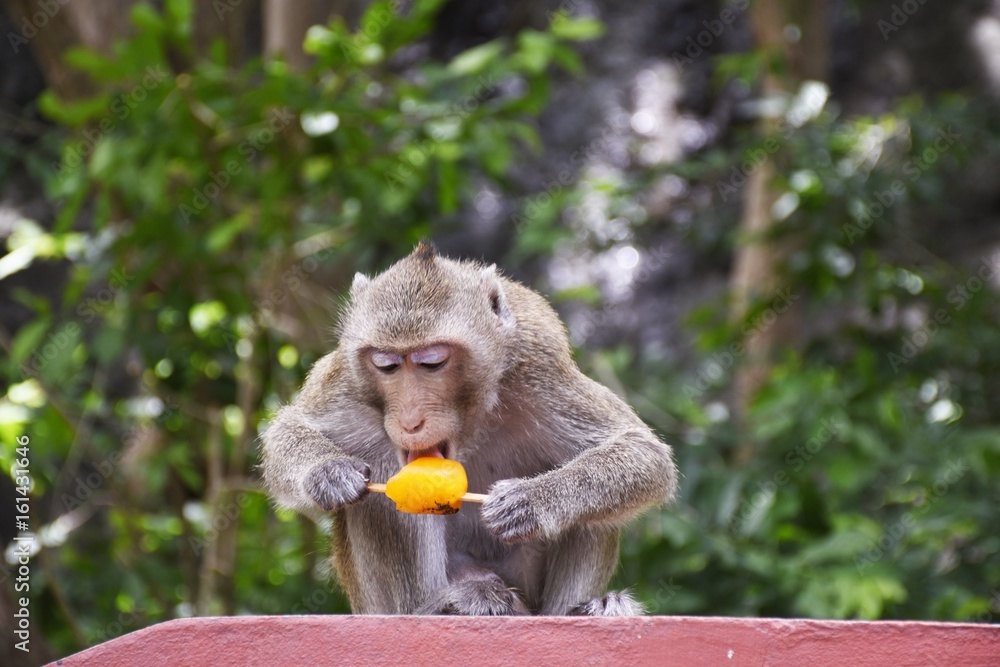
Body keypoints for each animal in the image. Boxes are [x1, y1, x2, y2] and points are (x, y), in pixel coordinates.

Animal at [260, 242, 677, 615]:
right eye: (387, 365)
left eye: (432, 362)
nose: (410, 420)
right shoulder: (347, 381)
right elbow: (288, 427)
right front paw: (329, 473)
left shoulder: (539, 369)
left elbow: (641, 451)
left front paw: (531, 501)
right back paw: (438, 607)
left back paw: (587, 608)